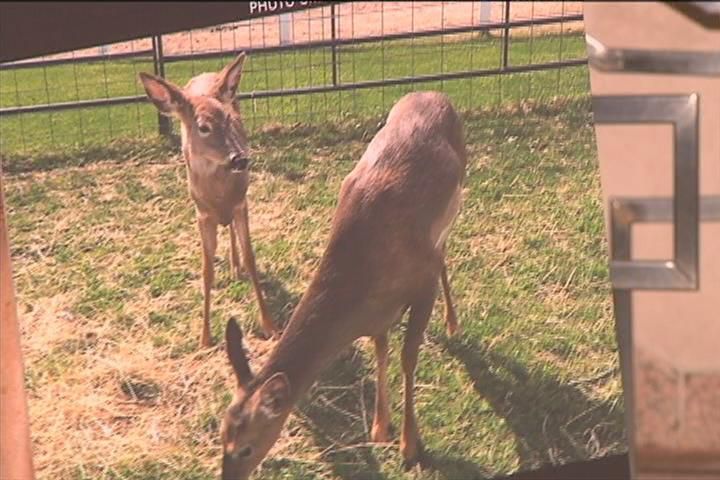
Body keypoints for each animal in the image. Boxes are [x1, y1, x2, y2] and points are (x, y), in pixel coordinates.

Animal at [138, 53, 279, 348]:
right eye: (203, 127)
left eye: (229, 119)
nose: (240, 159)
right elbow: (206, 270)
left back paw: (236, 268)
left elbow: (251, 258)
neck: (217, 194)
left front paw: (270, 326)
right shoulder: (201, 214)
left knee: (233, 234)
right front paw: (204, 336)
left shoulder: (241, 203)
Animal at [219, 91, 466, 479]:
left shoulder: (422, 278)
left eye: (246, 448)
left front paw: (410, 446)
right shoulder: (378, 311)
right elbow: (381, 349)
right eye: (220, 435)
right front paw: (380, 428)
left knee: (445, 254)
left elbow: (408, 357)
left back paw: (453, 324)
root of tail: (435, 93)